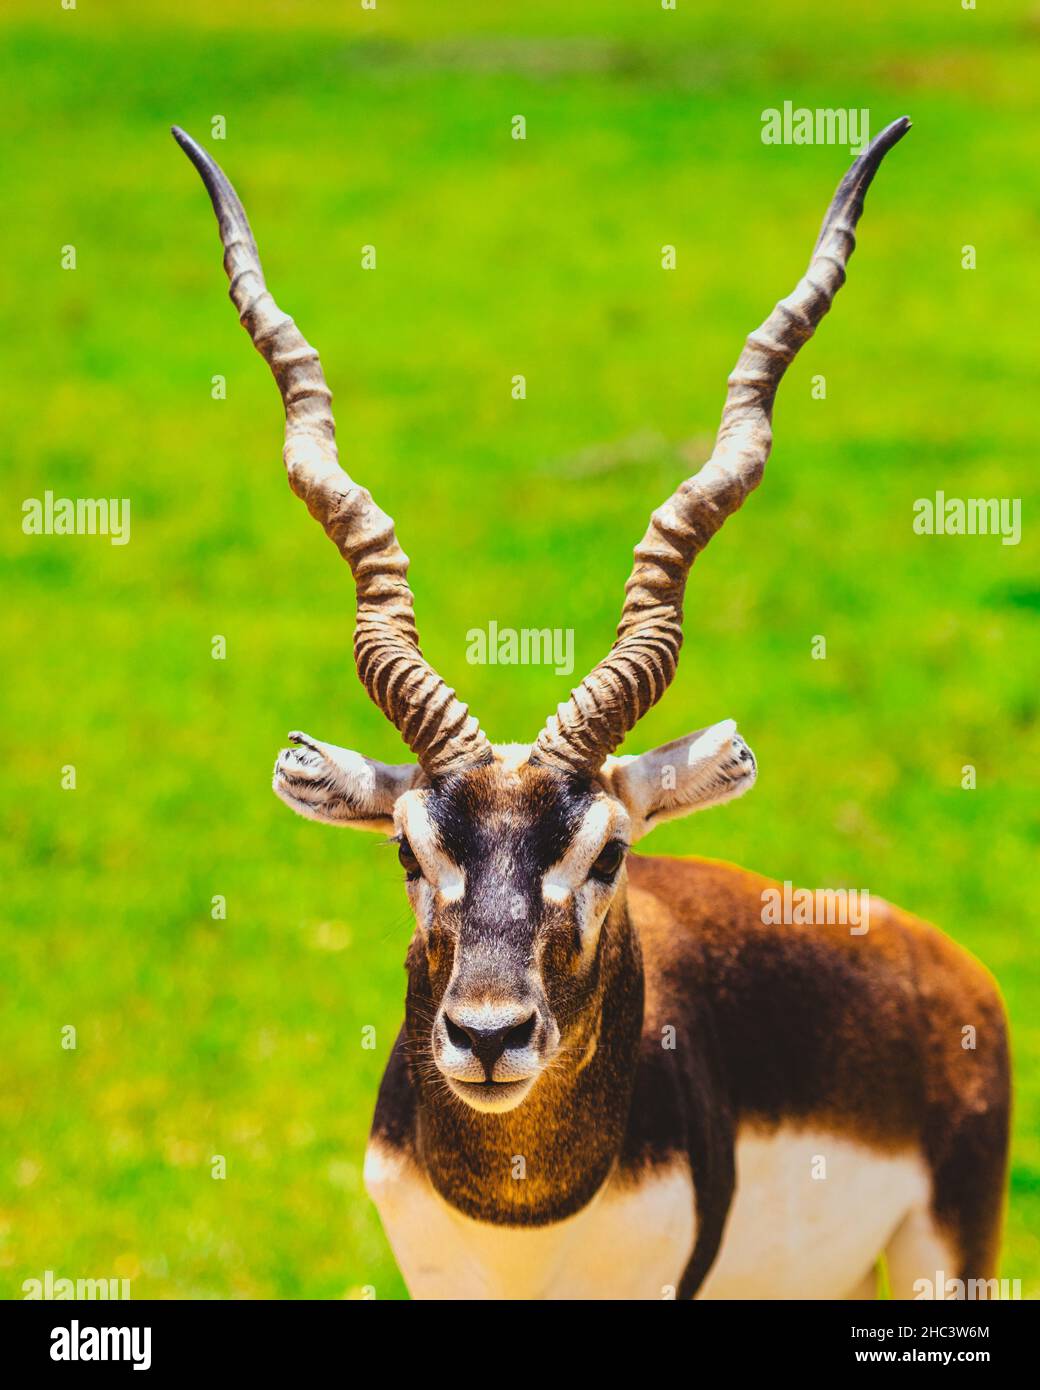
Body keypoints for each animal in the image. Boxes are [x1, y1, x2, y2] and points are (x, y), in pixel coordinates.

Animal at [173, 117, 1010, 1300]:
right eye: (407, 851)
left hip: (948, 1246)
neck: (521, 1216)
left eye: (609, 852)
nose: (487, 1035)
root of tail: (943, 960)